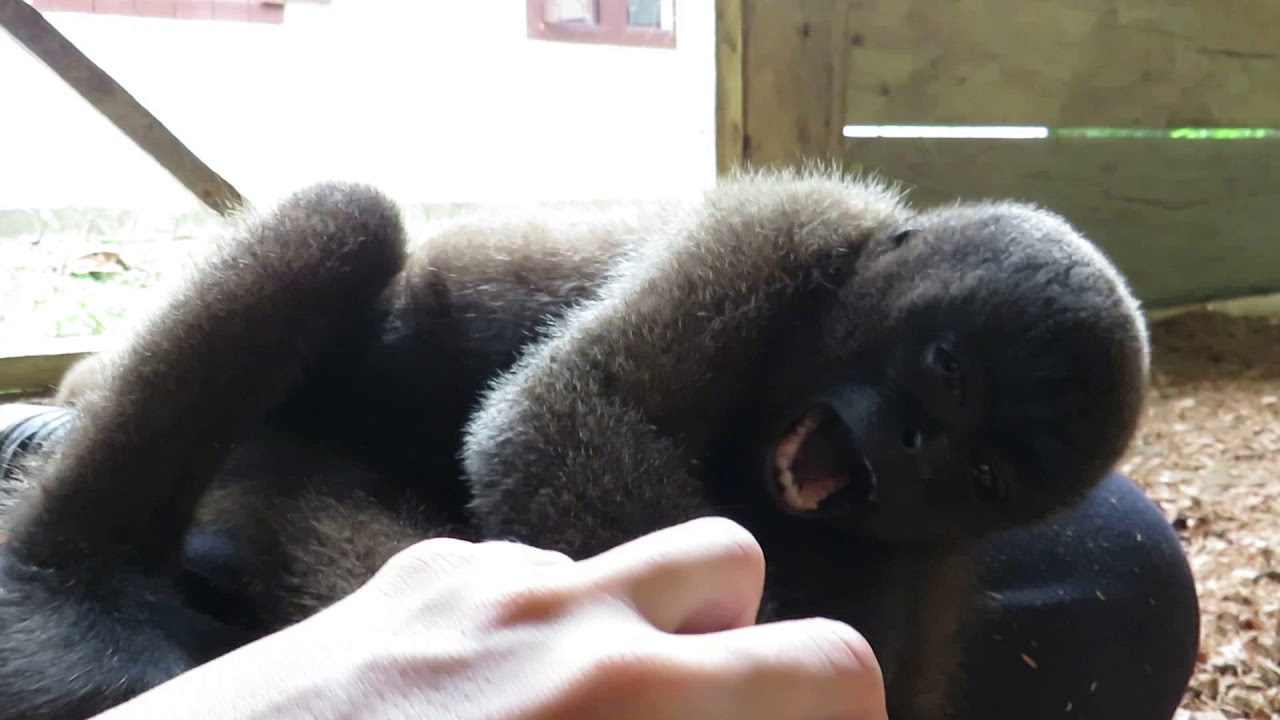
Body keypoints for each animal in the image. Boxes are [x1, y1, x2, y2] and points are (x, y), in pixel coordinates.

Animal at [0, 166, 1149, 720]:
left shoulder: (926, 571)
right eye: (947, 369)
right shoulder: (786, 230)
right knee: (352, 218)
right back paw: (65, 587)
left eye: (982, 471)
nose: (914, 446)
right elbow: (562, 408)